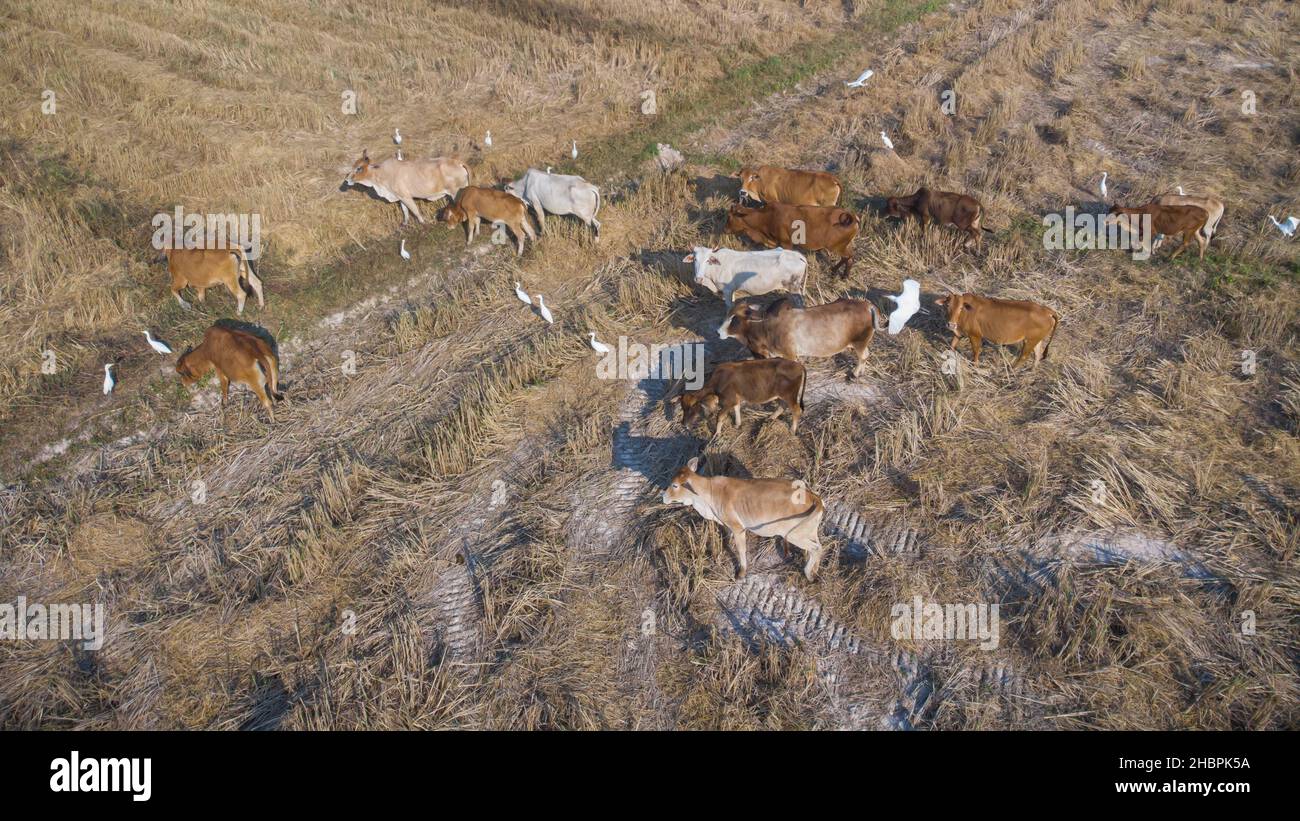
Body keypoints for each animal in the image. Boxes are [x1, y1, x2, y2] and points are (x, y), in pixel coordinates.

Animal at [662, 457, 826, 580]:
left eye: (675, 485)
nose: (663, 497)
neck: (708, 494)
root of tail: (814, 497)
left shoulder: (738, 528)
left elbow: (741, 550)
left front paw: (741, 573)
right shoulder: (727, 525)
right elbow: (726, 539)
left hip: (793, 535)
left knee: (816, 548)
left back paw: (809, 574)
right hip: (809, 531)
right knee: (820, 546)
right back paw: (815, 571)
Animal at [669, 357, 807, 435]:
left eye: (692, 408)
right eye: (682, 407)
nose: (683, 423)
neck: (717, 381)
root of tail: (799, 365)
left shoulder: (728, 401)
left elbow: (720, 417)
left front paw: (717, 434)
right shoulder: (735, 400)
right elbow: (736, 409)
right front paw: (737, 424)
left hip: (790, 395)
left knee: (796, 410)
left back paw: (792, 430)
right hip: (781, 396)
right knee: (782, 406)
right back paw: (771, 418)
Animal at [718, 296, 886, 377]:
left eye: (734, 318)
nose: (718, 332)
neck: (766, 327)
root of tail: (867, 305)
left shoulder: (790, 355)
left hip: (860, 343)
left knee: (863, 356)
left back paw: (855, 374)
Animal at [724, 203, 860, 275]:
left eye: (729, 217)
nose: (725, 229)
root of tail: (851, 216)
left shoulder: (786, 244)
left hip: (837, 247)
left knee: (849, 257)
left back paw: (840, 274)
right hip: (844, 246)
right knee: (849, 258)